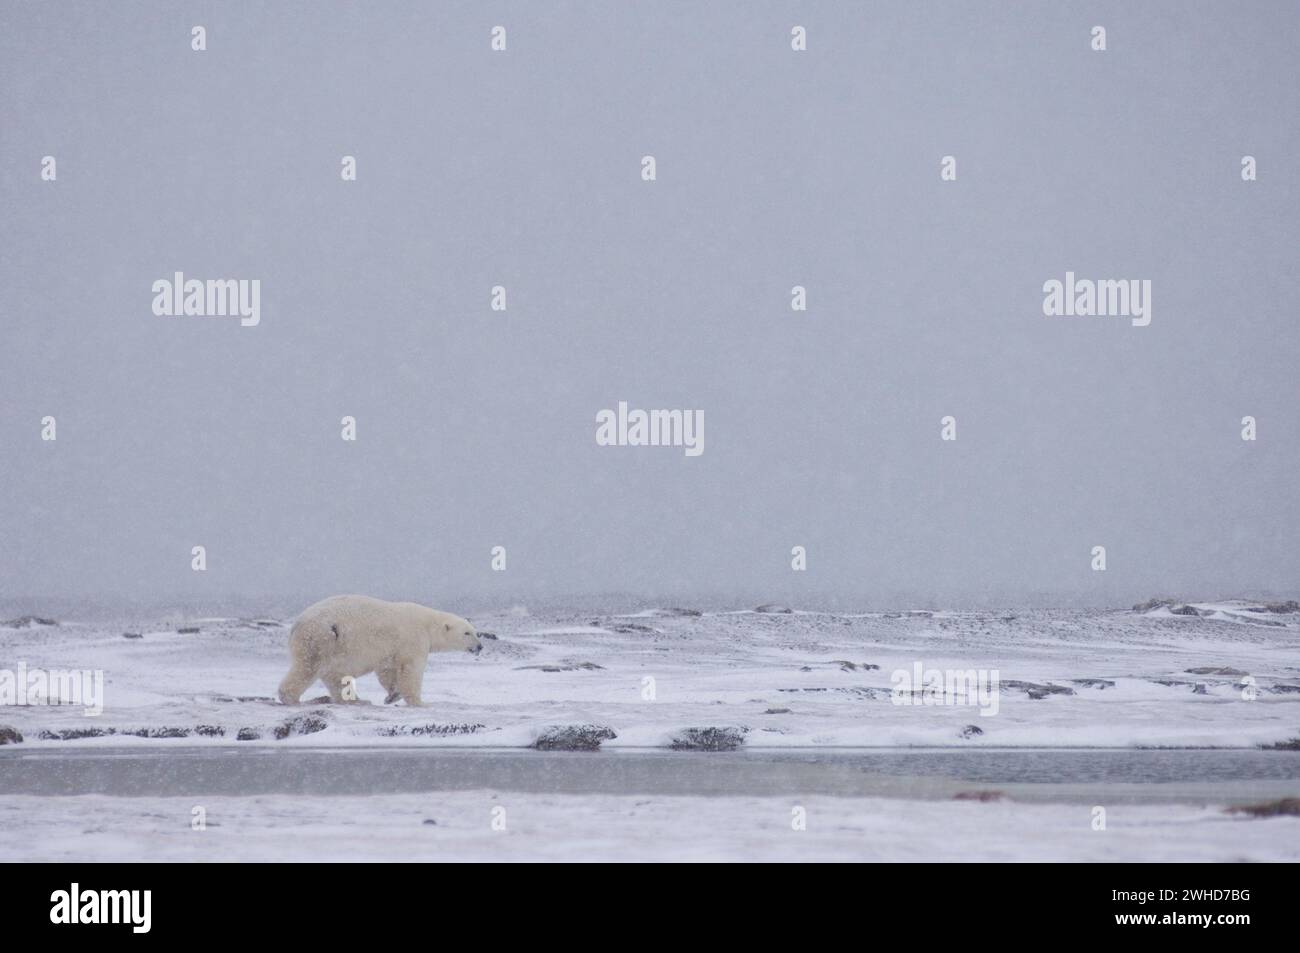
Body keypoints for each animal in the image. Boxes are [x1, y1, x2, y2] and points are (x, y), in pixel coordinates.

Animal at [277, 595, 481, 706]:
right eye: (467, 632)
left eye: (475, 631)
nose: (480, 646)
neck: (428, 624)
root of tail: (296, 623)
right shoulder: (413, 639)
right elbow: (410, 670)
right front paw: (418, 701)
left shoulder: (389, 650)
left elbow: (386, 670)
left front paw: (392, 696)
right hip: (321, 636)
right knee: (308, 667)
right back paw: (291, 698)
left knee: (334, 675)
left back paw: (356, 700)